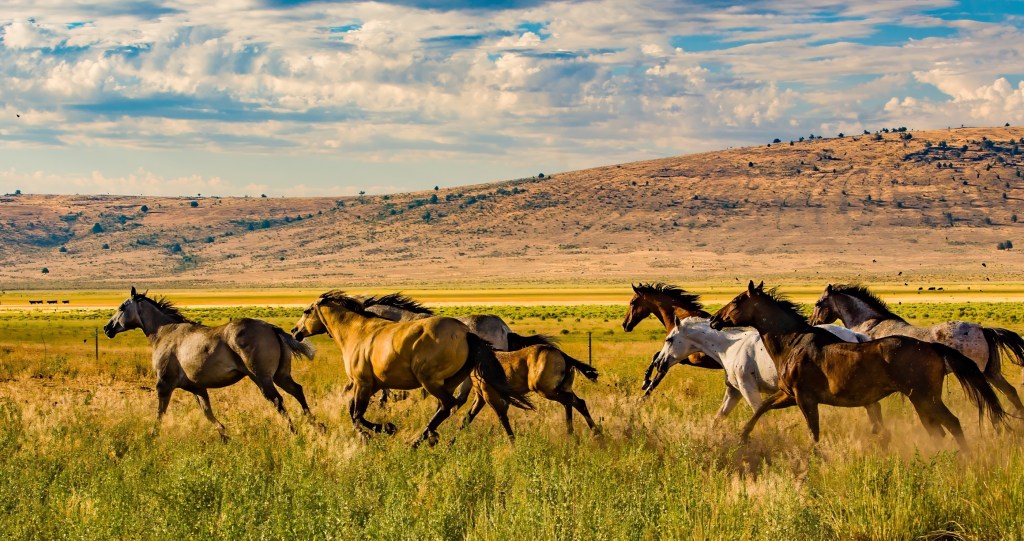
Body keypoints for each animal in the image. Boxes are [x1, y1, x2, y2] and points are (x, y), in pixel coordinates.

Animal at [103, 287, 315, 440]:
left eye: (122, 307)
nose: (107, 328)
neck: (165, 333)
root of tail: (271, 328)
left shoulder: (164, 384)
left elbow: (160, 413)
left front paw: (152, 437)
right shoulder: (197, 388)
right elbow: (207, 412)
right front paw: (225, 435)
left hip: (262, 378)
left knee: (278, 400)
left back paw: (294, 433)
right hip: (280, 375)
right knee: (297, 390)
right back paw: (316, 426)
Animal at [290, 291, 532, 447]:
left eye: (306, 311)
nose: (295, 331)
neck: (360, 331)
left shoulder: (364, 381)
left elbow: (357, 413)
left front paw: (381, 430)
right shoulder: (370, 382)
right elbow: (354, 409)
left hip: (447, 379)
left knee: (463, 404)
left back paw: (425, 440)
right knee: (469, 405)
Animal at [461, 344, 600, 438]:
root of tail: (563, 356)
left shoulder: (489, 396)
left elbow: (503, 419)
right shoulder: (480, 397)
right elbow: (467, 418)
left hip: (546, 391)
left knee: (570, 401)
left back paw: (576, 435)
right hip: (562, 389)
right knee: (578, 403)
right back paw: (594, 435)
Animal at [648, 316, 885, 431]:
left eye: (669, 339)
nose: (659, 362)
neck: (730, 348)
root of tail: (855, 336)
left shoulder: (748, 389)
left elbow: (758, 414)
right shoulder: (734, 392)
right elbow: (718, 418)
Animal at [810, 284, 1024, 412]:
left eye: (818, 303)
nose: (812, 323)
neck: (870, 324)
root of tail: (983, 329)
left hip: (979, 373)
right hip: (991, 372)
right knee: (1011, 393)